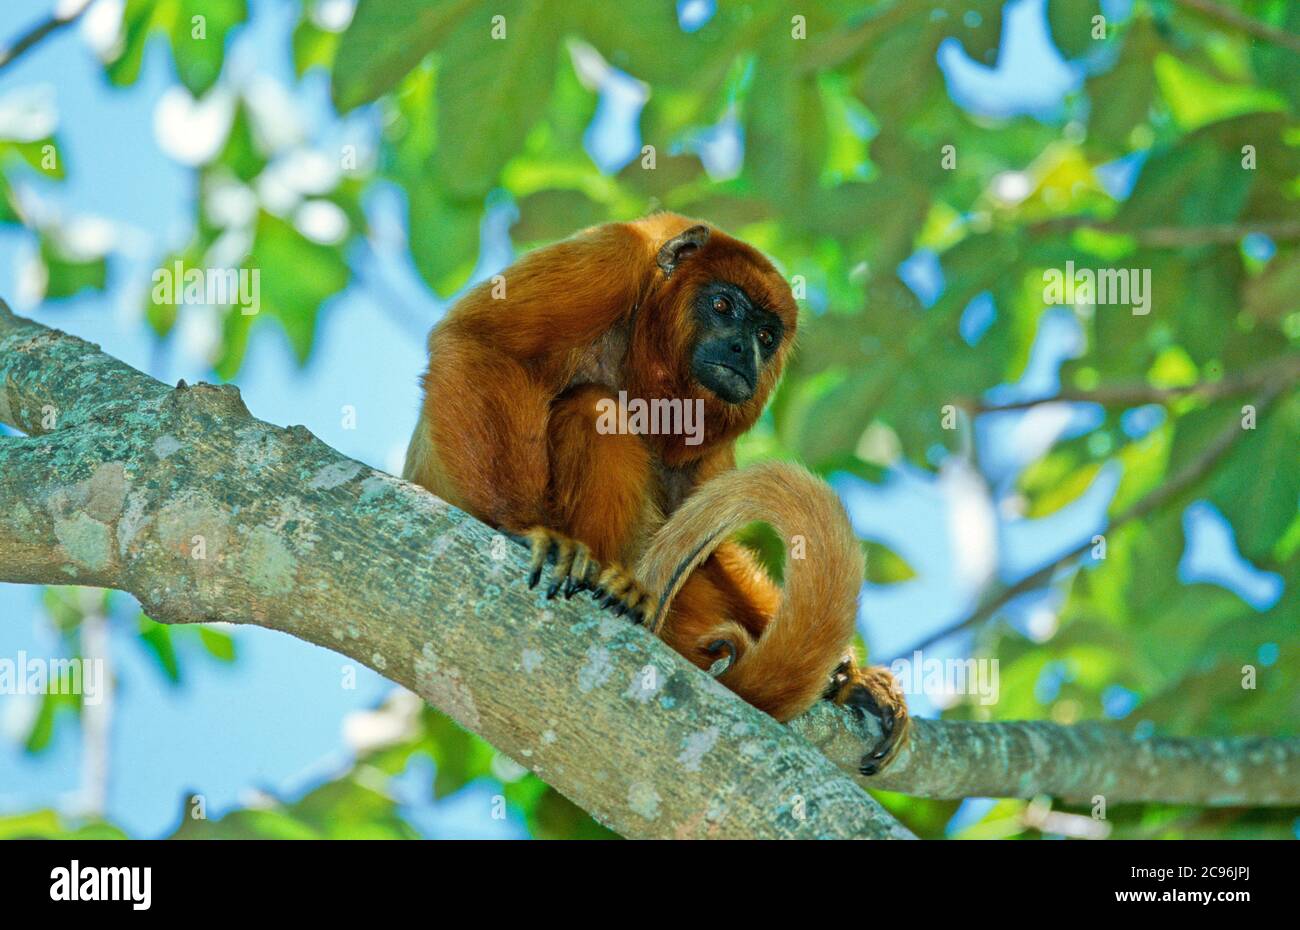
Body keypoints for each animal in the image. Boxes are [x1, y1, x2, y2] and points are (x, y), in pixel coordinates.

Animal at [404, 212, 909, 774]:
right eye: (722, 306)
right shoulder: (612, 257)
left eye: (765, 334)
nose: (744, 351)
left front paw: (851, 678)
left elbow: (711, 545)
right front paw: (525, 527)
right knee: (596, 408)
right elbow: (482, 342)